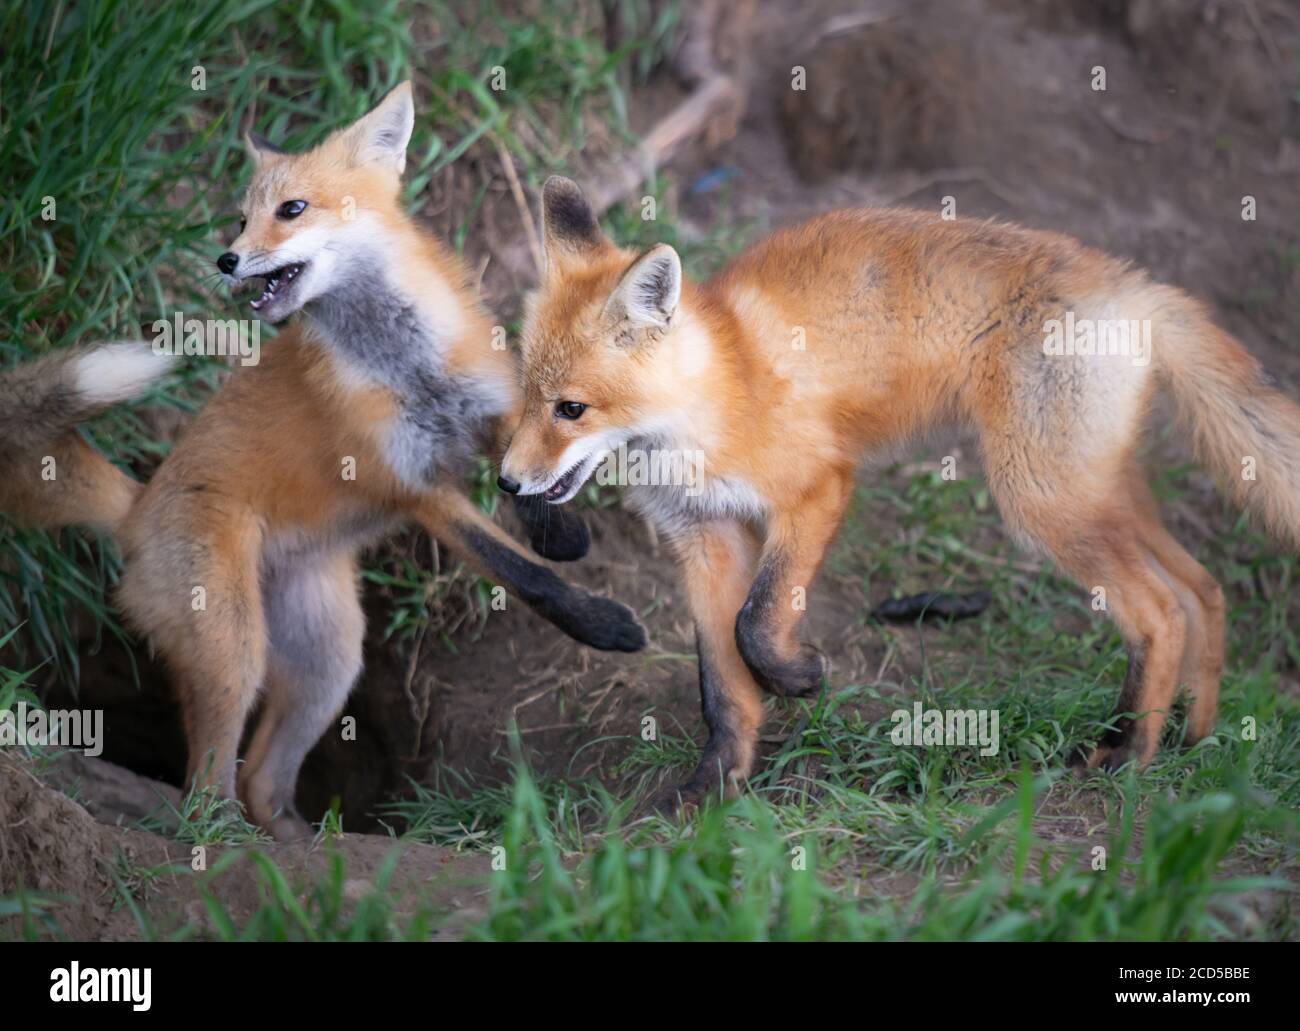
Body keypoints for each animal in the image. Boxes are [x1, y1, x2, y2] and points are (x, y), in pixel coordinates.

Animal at [105, 85, 645, 839]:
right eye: (240, 219)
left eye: (291, 209)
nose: (225, 259)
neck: (407, 364)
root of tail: (133, 509)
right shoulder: (415, 486)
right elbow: (525, 574)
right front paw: (600, 623)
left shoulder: (491, 403)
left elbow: (527, 473)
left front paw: (562, 531)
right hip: (233, 649)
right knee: (208, 781)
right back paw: (229, 841)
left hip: (330, 659)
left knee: (262, 777)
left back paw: (297, 842)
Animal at [500, 175, 1300, 808]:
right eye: (527, 395)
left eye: (571, 408)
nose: (507, 480)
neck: (711, 398)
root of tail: (1138, 283)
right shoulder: (704, 535)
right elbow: (720, 685)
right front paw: (715, 786)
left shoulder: (817, 489)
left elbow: (755, 624)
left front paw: (800, 677)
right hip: (1094, 490)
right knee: (1202, 588)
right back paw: (1191, 739)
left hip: (1042, 500)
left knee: (1160, 611)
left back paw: (1129, 752)